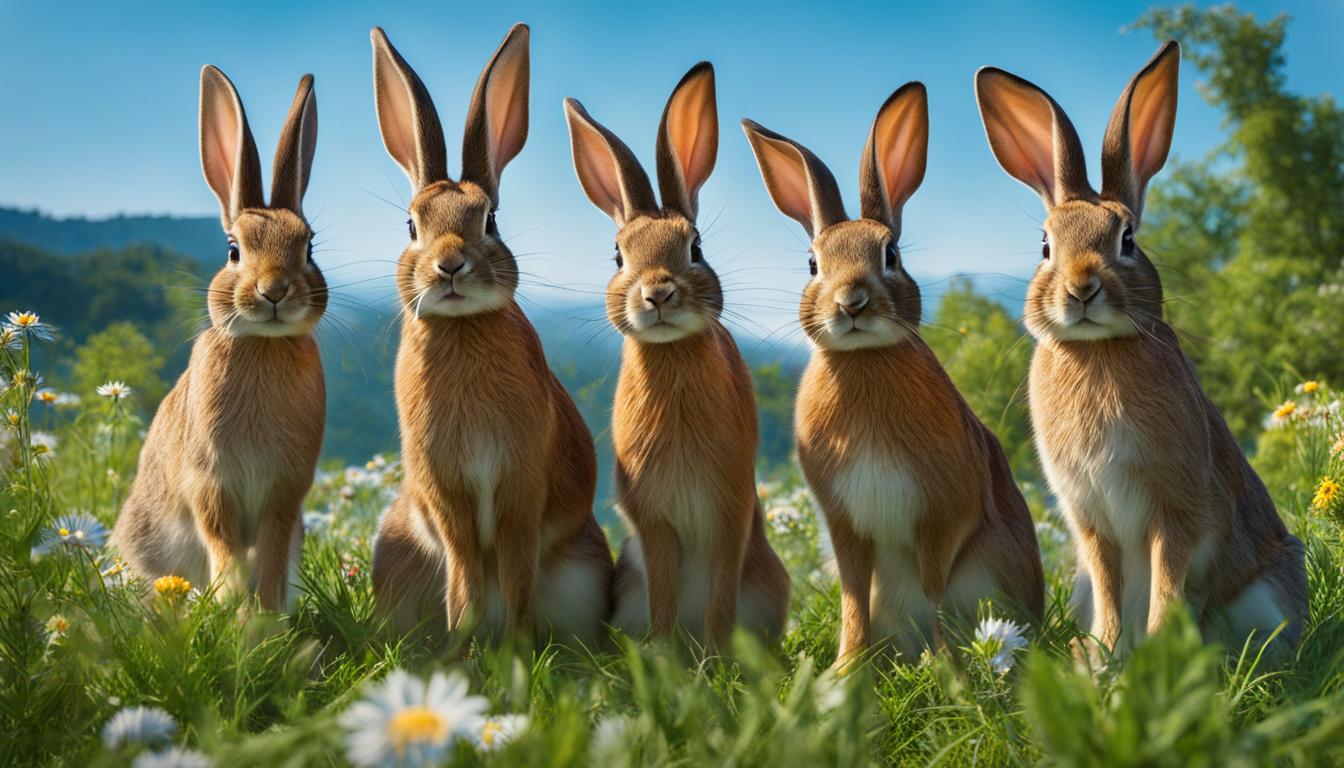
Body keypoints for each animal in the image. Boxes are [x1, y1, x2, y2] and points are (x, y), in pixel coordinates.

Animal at [111, 66, 326, 611]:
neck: (262, 343)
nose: (274, 291)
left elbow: (270, 549)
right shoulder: (209, 483)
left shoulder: (284, 493)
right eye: (233, 250)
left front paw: (264, 609)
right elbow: (220, 536)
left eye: (309, 247)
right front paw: (231, 600)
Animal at [367, 24, 614, 647]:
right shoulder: (447, 491)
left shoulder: (520, 488)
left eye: (491, 221)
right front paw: (467, 643)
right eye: (411, 224)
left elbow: (515, 571)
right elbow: (464, 576)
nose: (450, 266)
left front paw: (513, 650)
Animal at [563, 62, 790, 647]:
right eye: (618, 255)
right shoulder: (653, 521)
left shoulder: (730, 512)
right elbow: (663, 589)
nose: (658, 293)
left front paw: (713, 654)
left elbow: (720, 595)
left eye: (696, 247)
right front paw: (665, 652)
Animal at [741, 83, 1044, 665]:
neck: (864, 358)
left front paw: (948, 667)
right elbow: (853, 594)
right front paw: (846, 667)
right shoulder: (845, 523)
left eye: (891, 254)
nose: (851, 302)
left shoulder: (942, 513)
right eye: (812, 264)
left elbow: (933, 586)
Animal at [974, 41, 1308, 659]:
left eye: (1127, 239)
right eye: (1045, 246)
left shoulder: (1175, 512)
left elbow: (1167, 585)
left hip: (1267, 589)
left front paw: (1154, 656)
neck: (1096, 349)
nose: (1082, 288)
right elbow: (1111, 586)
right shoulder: (1093, 523)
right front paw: (1106, 657)